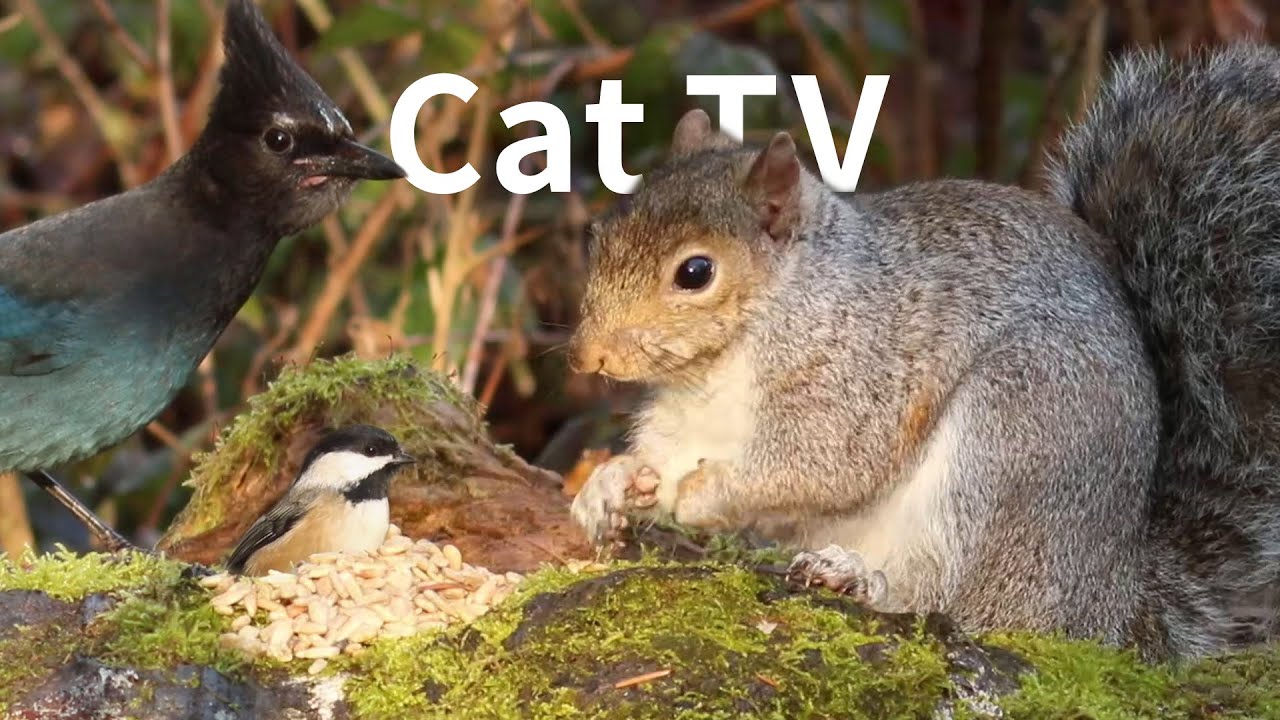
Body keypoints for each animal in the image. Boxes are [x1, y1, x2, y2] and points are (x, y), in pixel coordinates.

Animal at [567, 43, 1280, 662]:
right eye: (601, 234)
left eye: (695, 273)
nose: (588, 359)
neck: (720, 364)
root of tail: (1109, 603)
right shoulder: (689, 416)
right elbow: (663, 452)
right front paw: (612, 486)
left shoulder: (858, 376)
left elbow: (818, 466)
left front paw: (701, 496)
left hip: (1012, 433)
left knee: (960, 600)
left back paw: (861, 579)